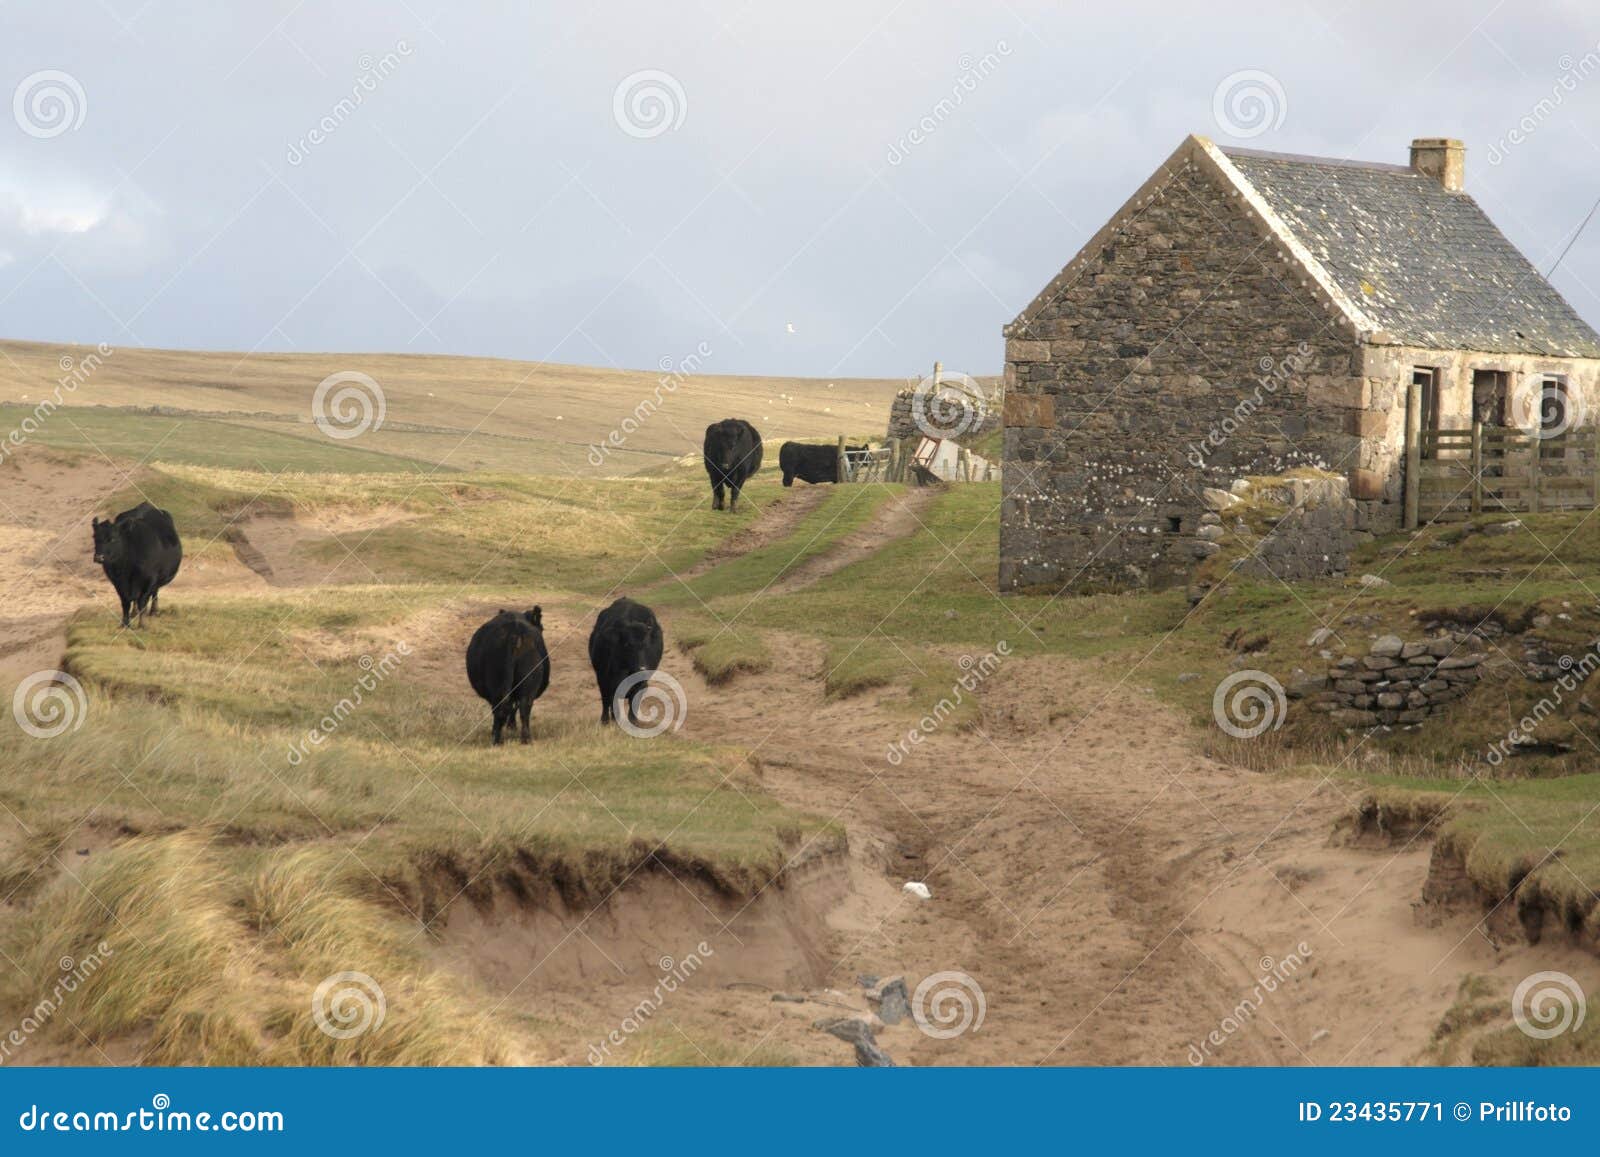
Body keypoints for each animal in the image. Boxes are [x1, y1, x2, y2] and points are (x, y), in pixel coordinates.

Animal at [465, 608, 551, 745]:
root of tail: (515, 632)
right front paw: (511, 727)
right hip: (528, 683)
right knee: (523, 707)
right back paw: (525, 739)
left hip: (497, 683)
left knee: (503, 708)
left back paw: (497, 739)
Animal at [588, 597, 664, 727]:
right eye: (628, 644)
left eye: (647, 645)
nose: (641, 669)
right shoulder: (607, 680)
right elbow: (610, 702)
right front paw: (611, 722)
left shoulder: (641, 684)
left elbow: (634, 703)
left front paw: (633, 723)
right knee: (606, 700)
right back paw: (605, 720)